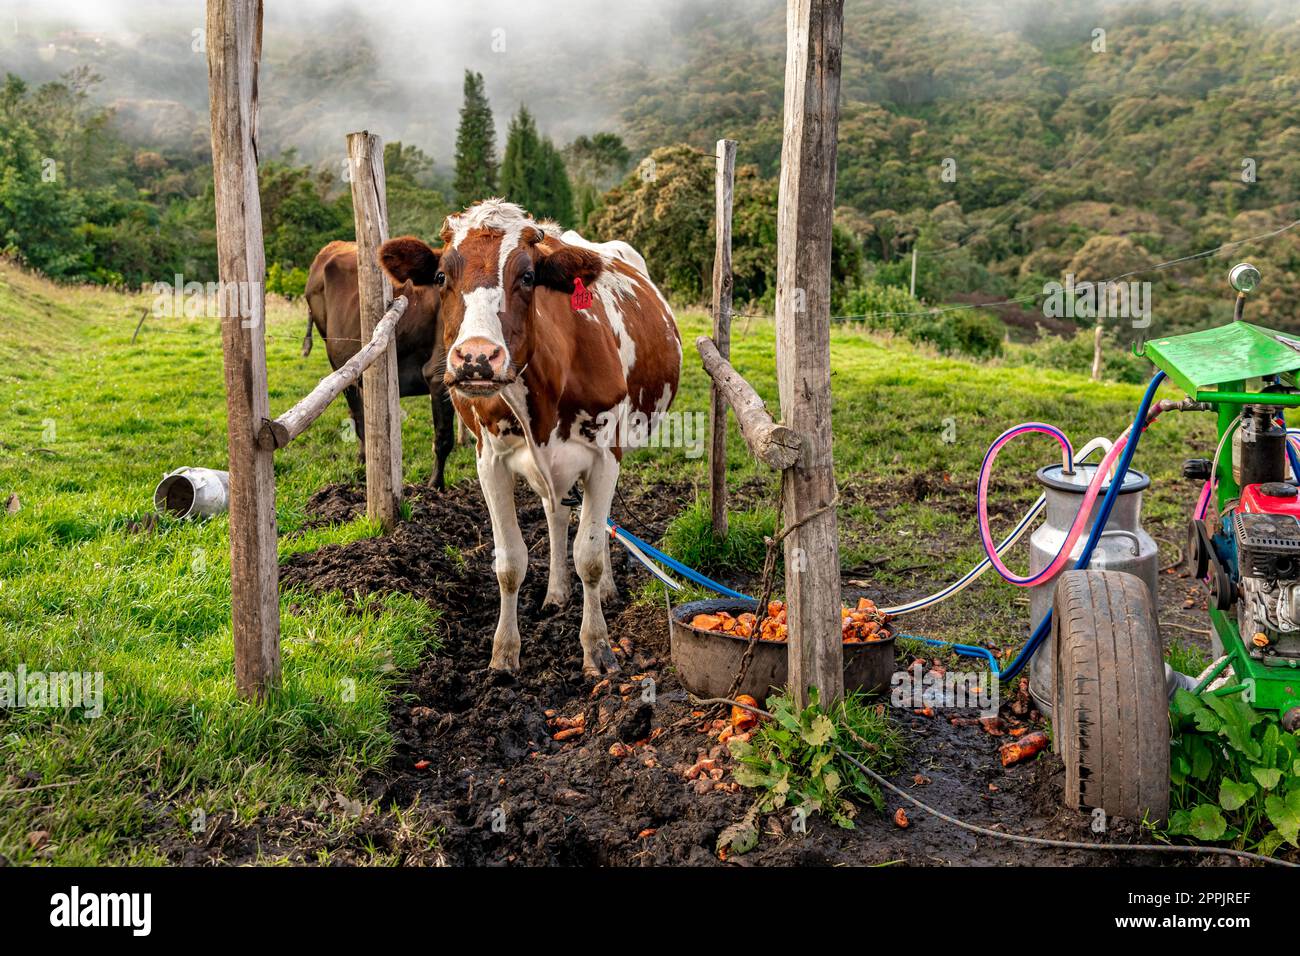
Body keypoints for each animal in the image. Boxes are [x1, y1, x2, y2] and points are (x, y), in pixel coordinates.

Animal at [378, 200, 681, 676]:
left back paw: (605, 590)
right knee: (556, 513)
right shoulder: (489, 461)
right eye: (442, 277)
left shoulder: (604, 456)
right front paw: (504, 652)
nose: (476, 358)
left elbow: (590, 556)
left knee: (597, 525)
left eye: (526, 277)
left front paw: (597, 647)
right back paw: (556, 591)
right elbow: (510, 562)